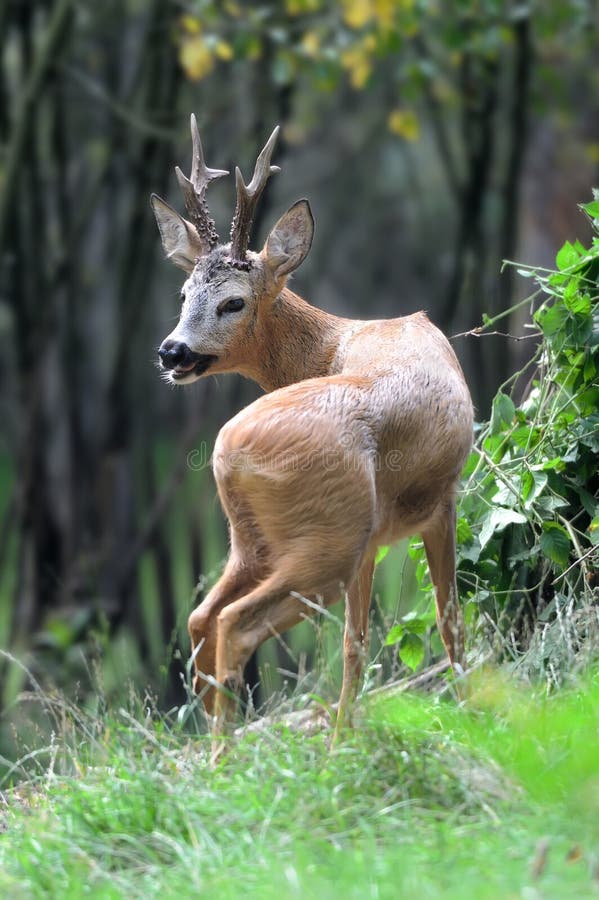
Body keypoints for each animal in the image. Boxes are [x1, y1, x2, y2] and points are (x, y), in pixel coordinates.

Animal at [151, 116, 474, 759]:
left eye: (232, 301)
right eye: (183, 295)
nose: (172, 351)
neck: (329, 347)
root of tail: (227, 454)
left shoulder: (379, 538)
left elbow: (357, 641)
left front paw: (346, 734)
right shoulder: (439, 502)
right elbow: (444, 620)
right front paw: (476, 715)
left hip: (258, 541)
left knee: (202, 618)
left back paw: (213, 746)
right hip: (332, 538)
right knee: (234, 624)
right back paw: (225, 758)